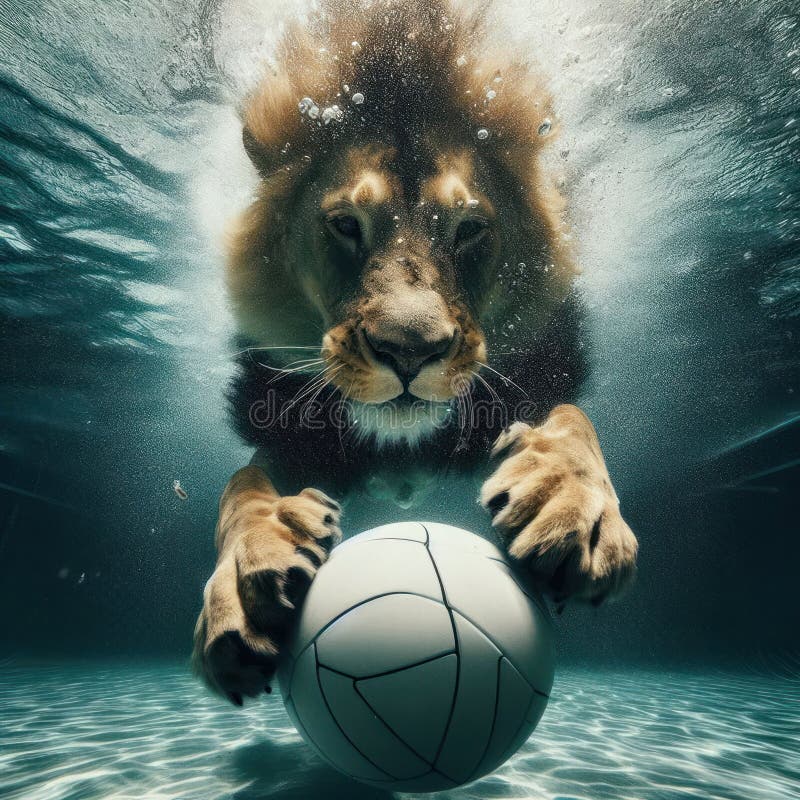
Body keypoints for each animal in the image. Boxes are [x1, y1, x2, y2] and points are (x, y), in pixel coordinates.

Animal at [193, 0, 638, 705]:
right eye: (345, 225)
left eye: (470, 228)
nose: (408, 353)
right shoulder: (294, 438)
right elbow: (242, 487)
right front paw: (246, 578)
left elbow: (573, 421)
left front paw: (572, 506)